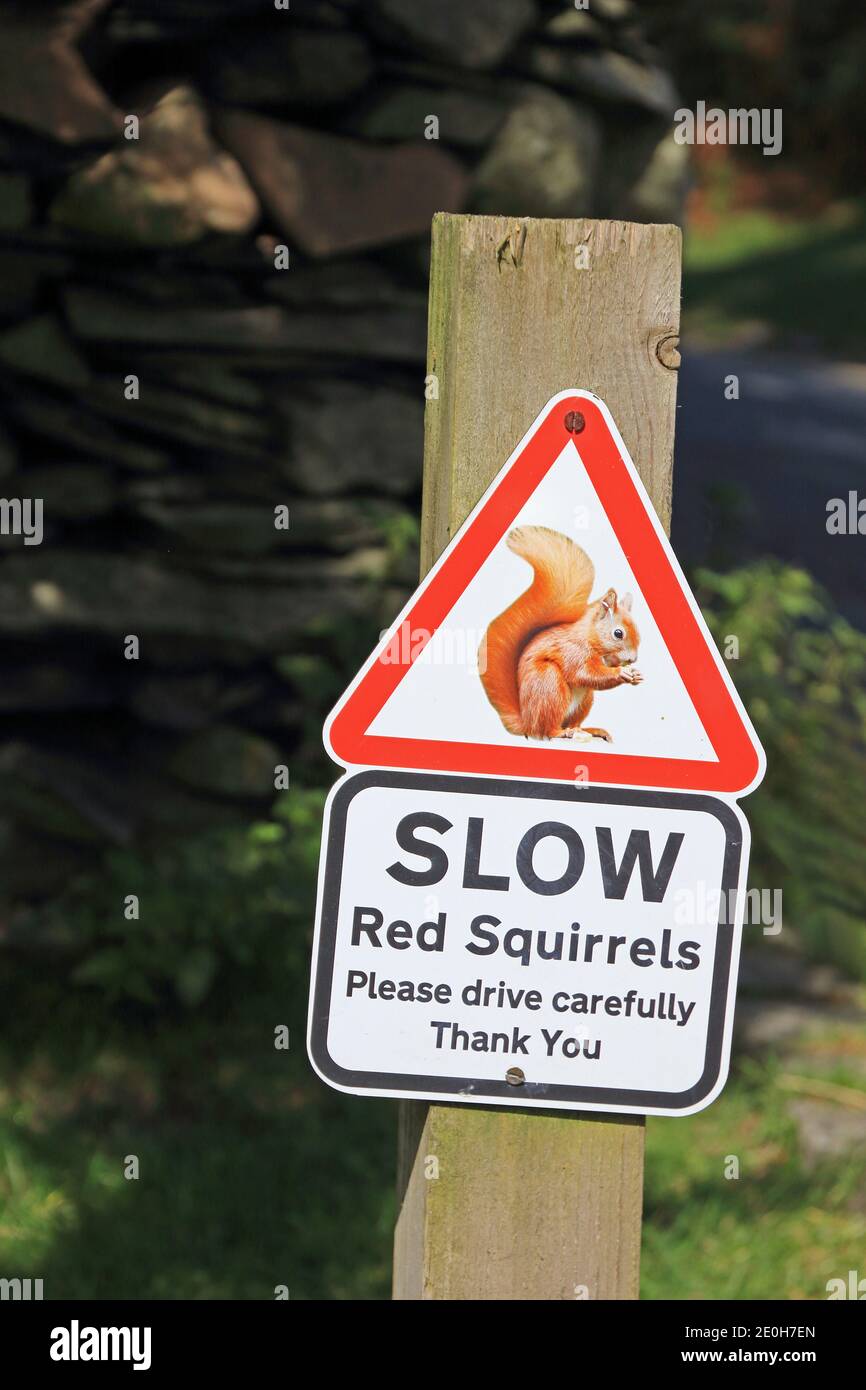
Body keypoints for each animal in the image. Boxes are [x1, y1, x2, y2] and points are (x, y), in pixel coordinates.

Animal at [478, 525, 642, 743]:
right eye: (618, 633)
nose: (632, 659)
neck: (589, 636)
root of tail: (527, 723)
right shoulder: (573, 652)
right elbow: (585, 673)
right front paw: (620, 673)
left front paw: (634, 674)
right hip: (550, 686)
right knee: (547, 730)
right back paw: (561, 732)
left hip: (584, 700)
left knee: (573, 722)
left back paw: (588, 730)